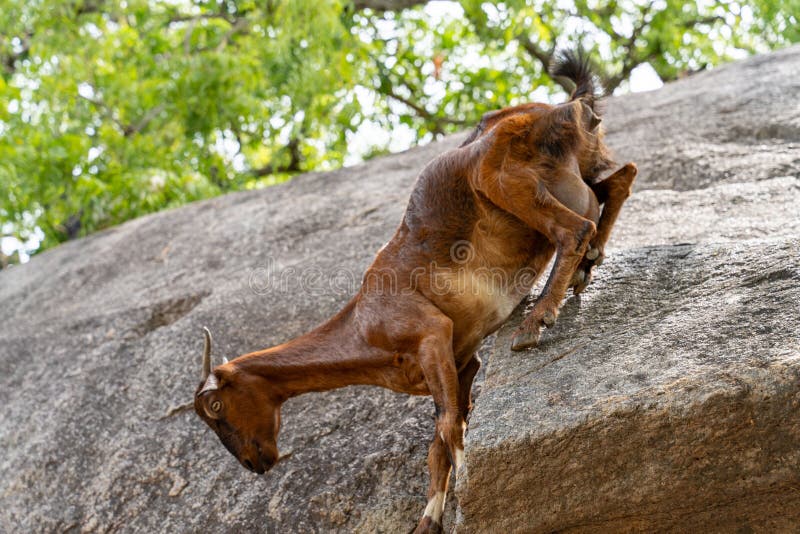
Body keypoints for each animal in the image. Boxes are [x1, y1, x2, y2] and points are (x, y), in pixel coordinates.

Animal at [194, 50, 637, 533]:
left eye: (215, 406)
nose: (254, 462)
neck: (363, 326)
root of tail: (568, 106)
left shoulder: (430, 334)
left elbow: (448, 428)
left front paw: (467, 487)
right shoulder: (459, 361)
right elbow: (437, 443)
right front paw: (428, 519)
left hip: (501, 177)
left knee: (574, 227)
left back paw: (536, 321)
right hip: (579, 170)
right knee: (618, 181)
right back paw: (585, 269)